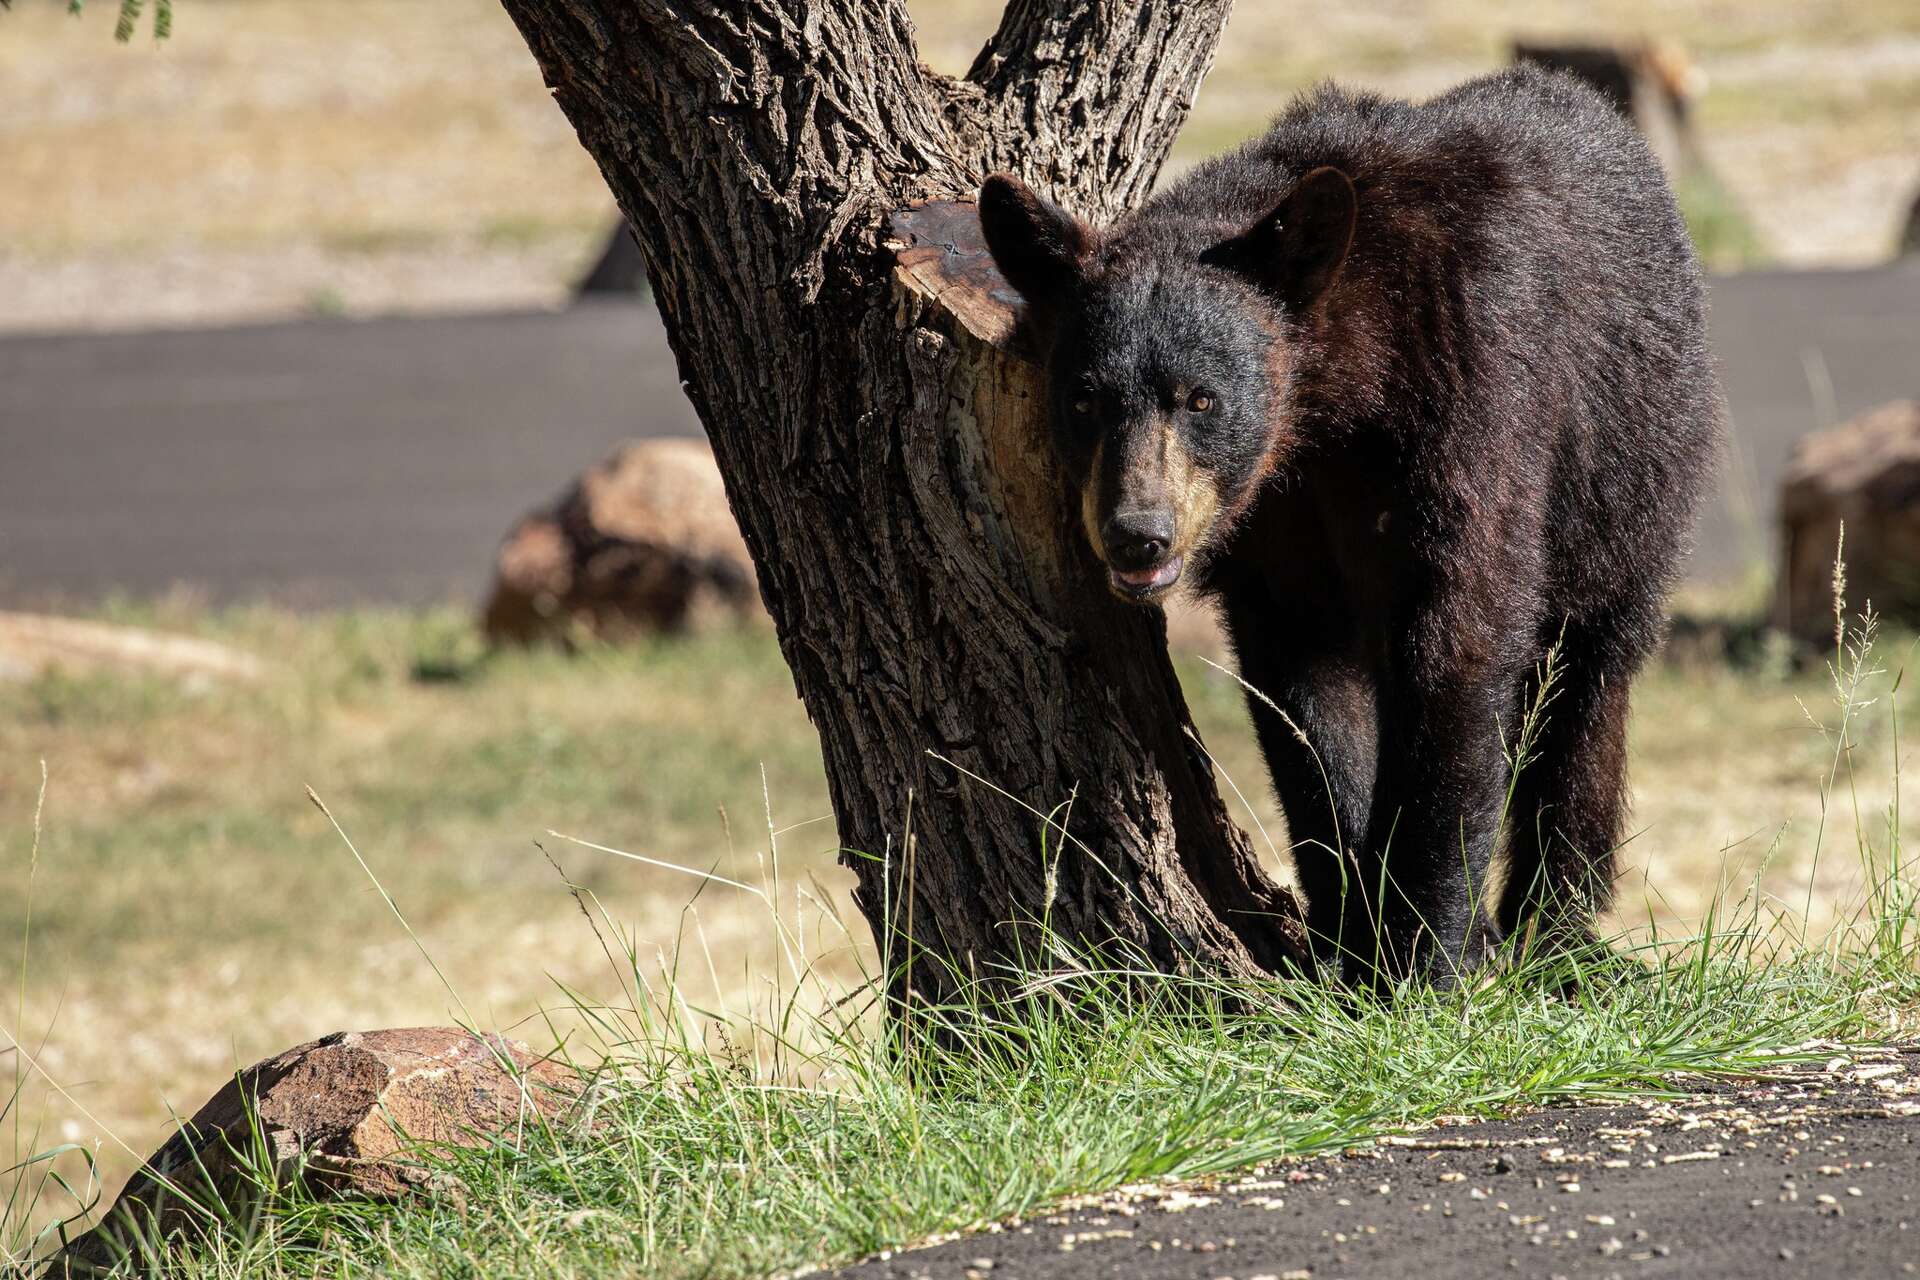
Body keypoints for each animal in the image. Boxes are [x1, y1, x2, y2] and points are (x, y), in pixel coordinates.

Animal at [978, 66, 1720, 987]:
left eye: (1201, 398)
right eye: (1083, 400)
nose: (1138, 534)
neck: (1338, 403)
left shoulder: (1475, 393)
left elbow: (1460, 640)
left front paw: (1425, 950)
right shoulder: (1275, 518)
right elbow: (1303, 690)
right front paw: (1348, 929)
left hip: (1632, 471)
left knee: (1588, 682)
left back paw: (1555, 930)